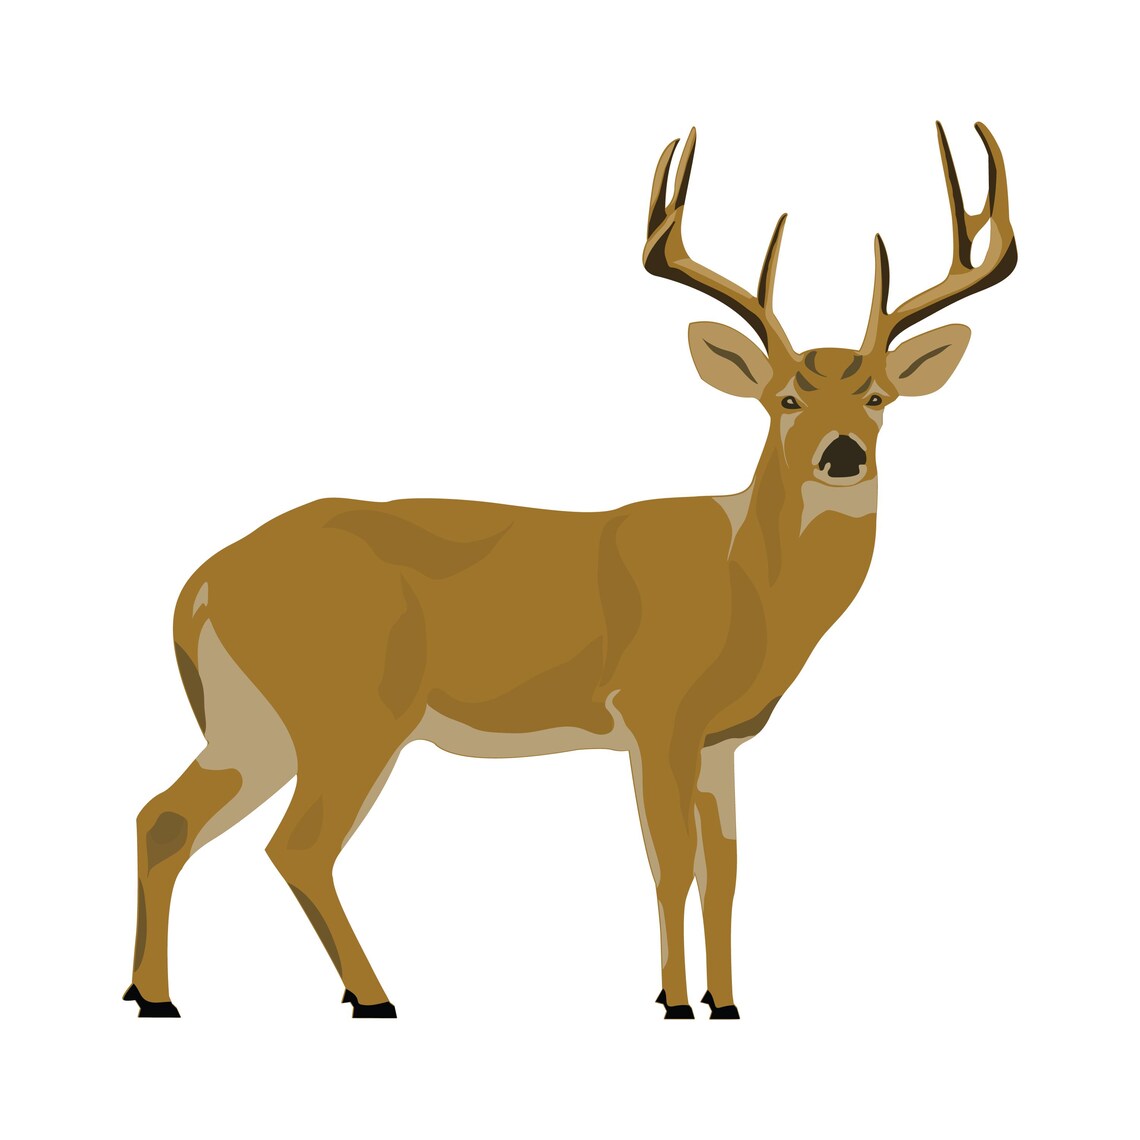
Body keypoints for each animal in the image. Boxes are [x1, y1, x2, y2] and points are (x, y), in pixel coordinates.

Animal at [125, 122, 1016, 1019]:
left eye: (876, 397)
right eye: (785, 400)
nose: (843, 455)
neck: (748, 586)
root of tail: (200, 584)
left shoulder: (722, 738)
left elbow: (727, 872)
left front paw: (727, 1003)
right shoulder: (655, 710)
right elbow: (671, 864)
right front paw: (674, 1002)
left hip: (257, 719)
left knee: (165, 818)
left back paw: (155, 994)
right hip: (351, 708)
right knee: (297, 845)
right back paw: (374, 997)